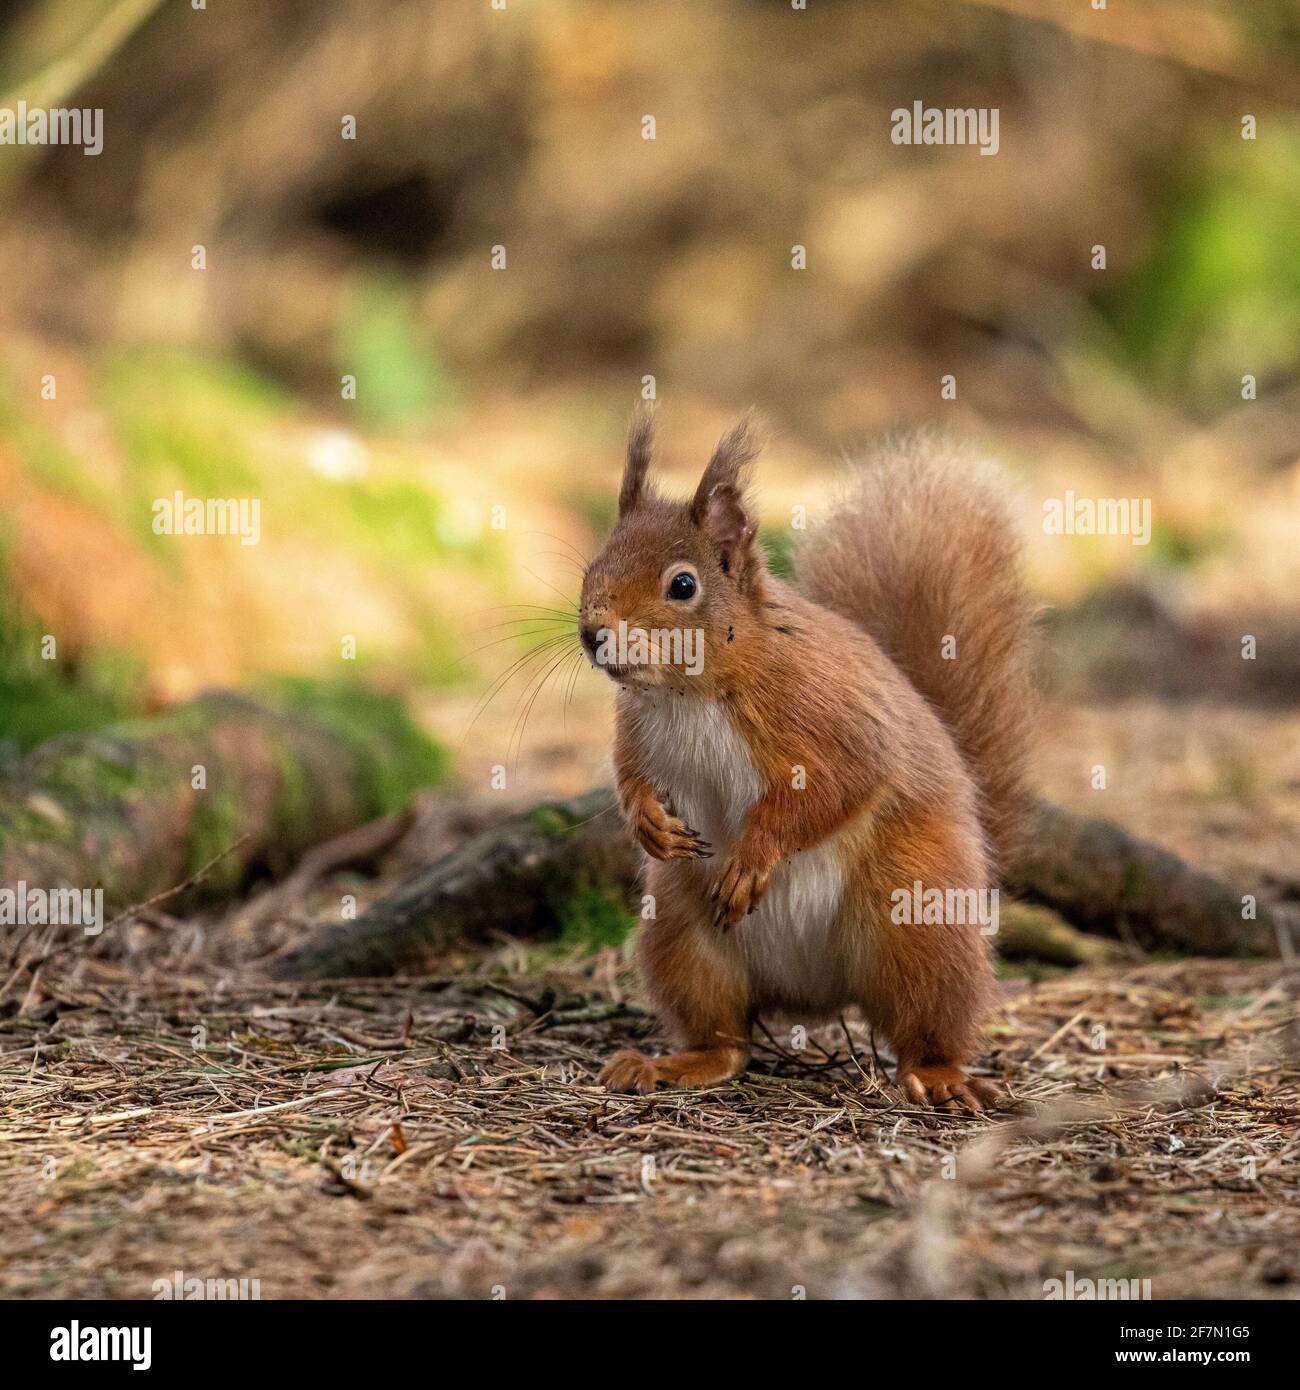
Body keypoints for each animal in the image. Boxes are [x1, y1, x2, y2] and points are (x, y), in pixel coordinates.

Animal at [578, 413, 1036, 1111]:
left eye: (682, 585)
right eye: (592, 565)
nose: (592, 634)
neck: (692, 690)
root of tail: (816, 995)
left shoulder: (832, 714)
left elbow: (840, 785)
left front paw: (754, 855)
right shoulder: (637, 730)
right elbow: (629, 778)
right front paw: (648, 824)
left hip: (918, 914)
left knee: (929, 1020)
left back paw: (939, 1076)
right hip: (680, 932)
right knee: (726, 1038)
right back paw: (678, 1063)